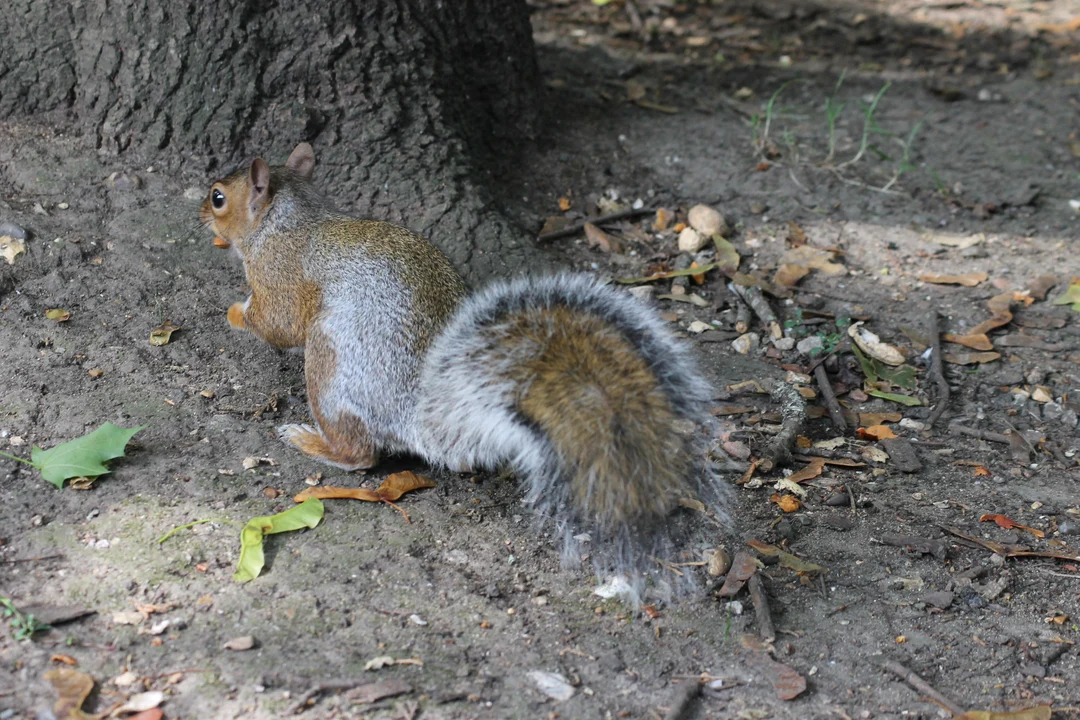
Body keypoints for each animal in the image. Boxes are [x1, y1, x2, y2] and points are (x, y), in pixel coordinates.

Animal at [201, 143, 727, 593]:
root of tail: (420, 416)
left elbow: (277, 323)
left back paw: (310, 440)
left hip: (329, 364)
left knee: (360, 454)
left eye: (219, 196)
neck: (288, 220)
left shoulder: (279, 277)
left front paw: (235, 313)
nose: (201, 212)